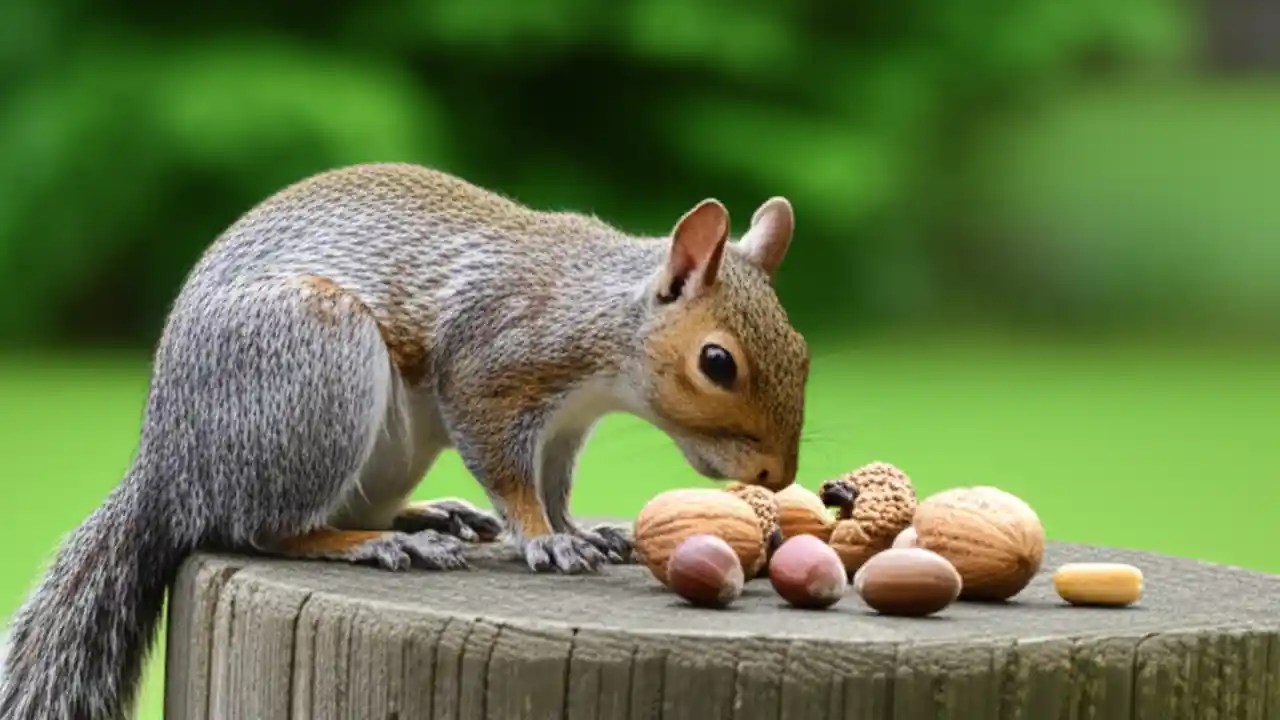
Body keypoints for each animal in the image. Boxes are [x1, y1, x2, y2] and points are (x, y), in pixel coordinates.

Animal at [0, 162, 809, 720]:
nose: (776, 474)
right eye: (717, 362)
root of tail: (166, 470)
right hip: (315, 368)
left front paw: (583, 531)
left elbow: (553, 485)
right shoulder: (491, 371)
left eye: (803, 351)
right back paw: (379, 543)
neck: (603, 320)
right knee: (259, 528)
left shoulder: (566, 426)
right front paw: (546, 541)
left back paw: (428, 515)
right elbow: (511, 476)